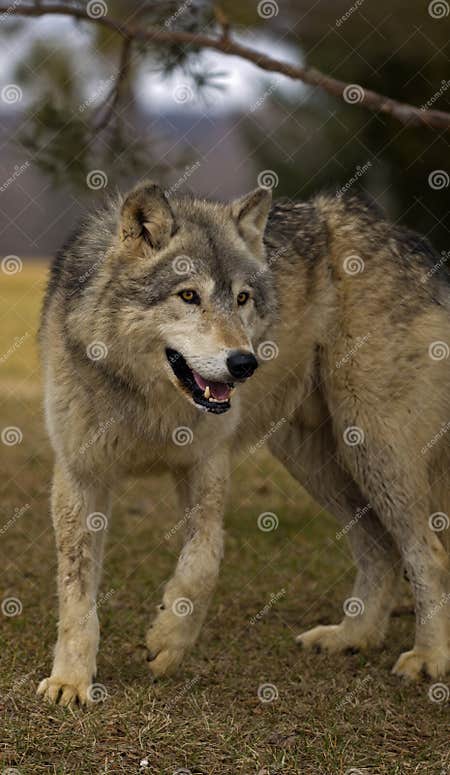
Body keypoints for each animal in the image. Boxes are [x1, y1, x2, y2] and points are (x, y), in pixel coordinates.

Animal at [37, 180, 450, 705]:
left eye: (243, 298)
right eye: (188, 295)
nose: (244, 363)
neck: (153, 401)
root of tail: (400, 233)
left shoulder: (207, 463)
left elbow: (204, 560)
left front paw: (167, 640)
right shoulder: (81, 475)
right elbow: (76, 594)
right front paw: (71, 680)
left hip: (375, 449)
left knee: (429, 554)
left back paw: (429, 658)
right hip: (320, 462)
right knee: (382, 550)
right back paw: (351, 638)